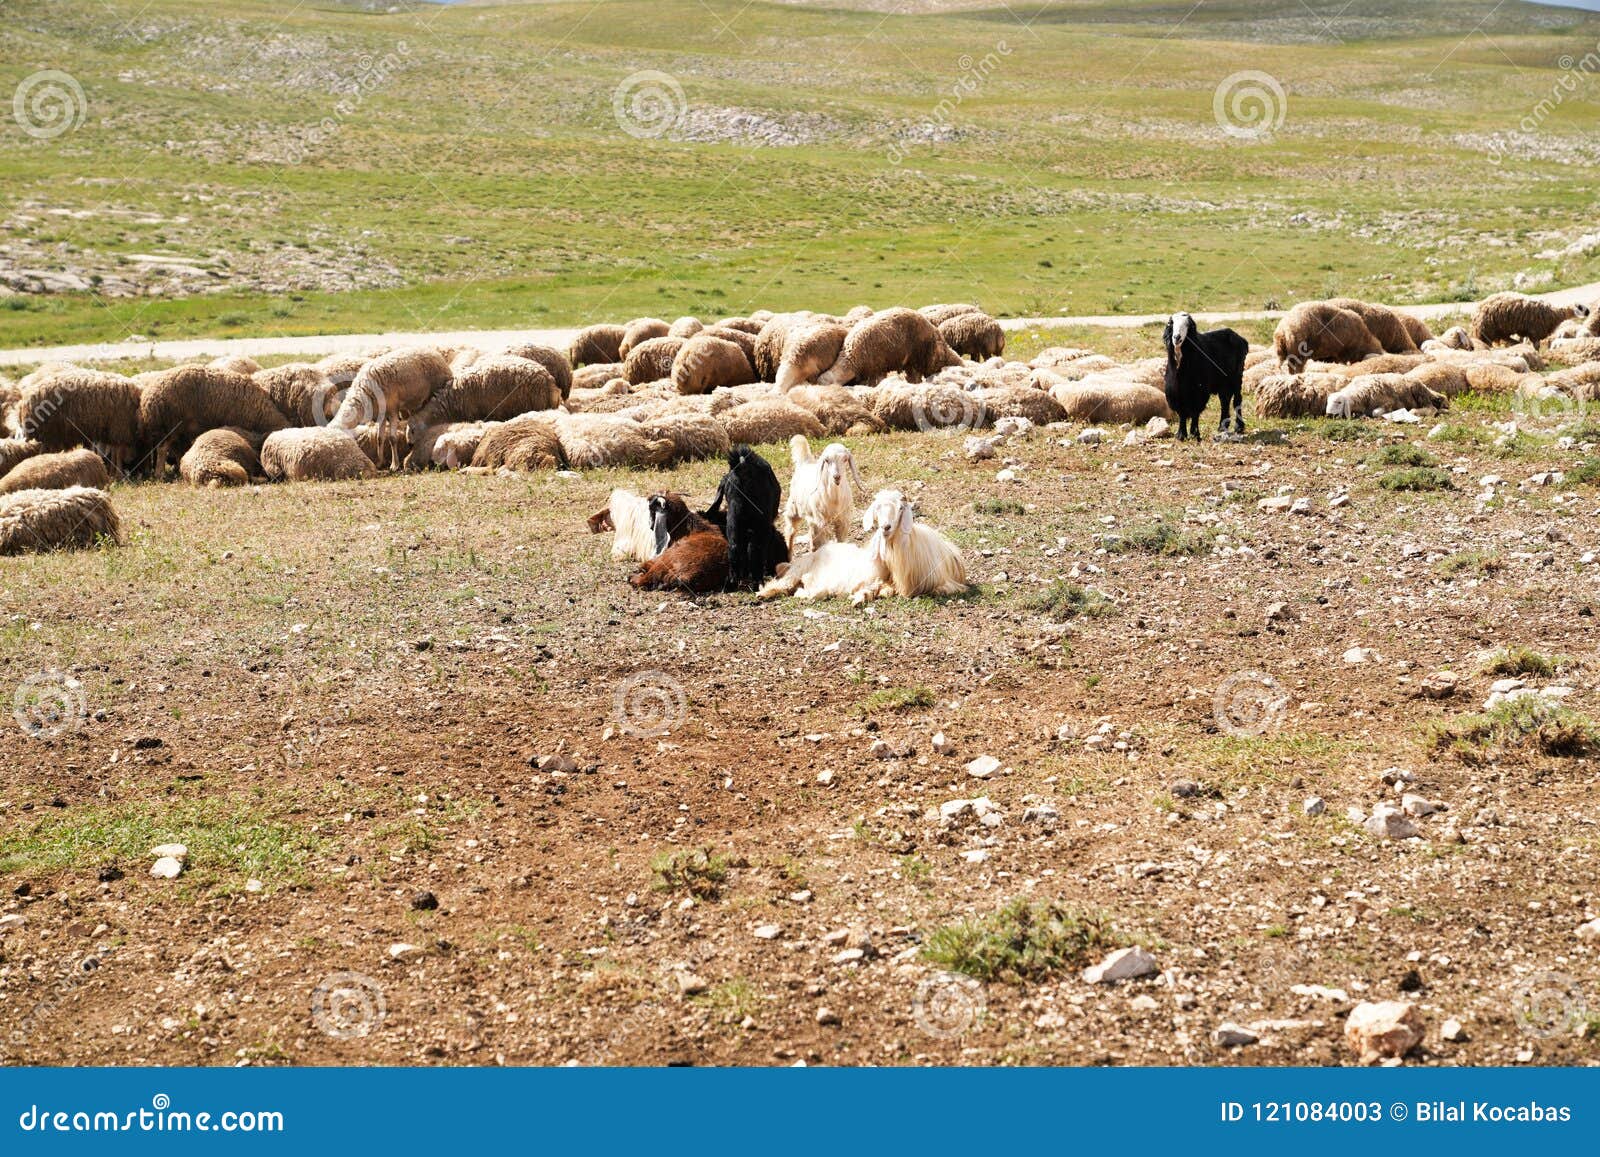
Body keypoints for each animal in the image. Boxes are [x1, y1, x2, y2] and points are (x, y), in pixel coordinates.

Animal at [138, 365, 288, 478]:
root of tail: (146, 396)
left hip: (177, 429)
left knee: (176, 449)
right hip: (168, 425)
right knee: (162, 449)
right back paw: (160, 474)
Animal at [1162, 312, 1249, 440]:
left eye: (1187, 325)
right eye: (1171, 323)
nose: (1176, 337)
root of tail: (1240, 338)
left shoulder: (1200, 391)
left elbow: (1195, 412)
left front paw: (1194, 433)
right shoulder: (1176, 393)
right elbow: (1182, 414)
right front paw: (1181, 435)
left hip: (1237, 375)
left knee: (1237, 400)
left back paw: (1239, 427)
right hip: (1223, 381)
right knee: (1225, 400)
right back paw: (1222, 426)